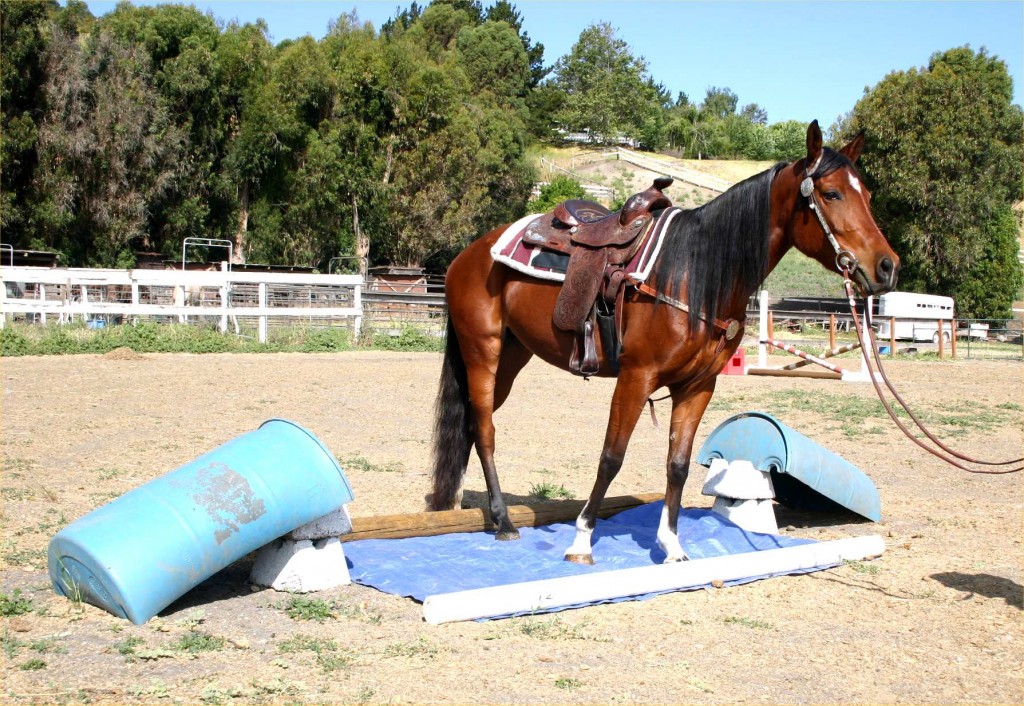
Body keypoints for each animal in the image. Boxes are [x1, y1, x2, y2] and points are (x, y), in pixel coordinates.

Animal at [429, 120, 900, 565]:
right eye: (832, 193)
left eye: (867, 194)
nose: (887, 266)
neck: (695, 272)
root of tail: (467, 255)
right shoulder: (635, 378)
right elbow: (611, 456)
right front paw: (581, 540)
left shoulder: (697, 386)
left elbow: (678, 464)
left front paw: (672, 546)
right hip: (483, 352)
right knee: (485, 429)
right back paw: (505, 522)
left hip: (512, 356)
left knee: (471, 426)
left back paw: (466, 510)